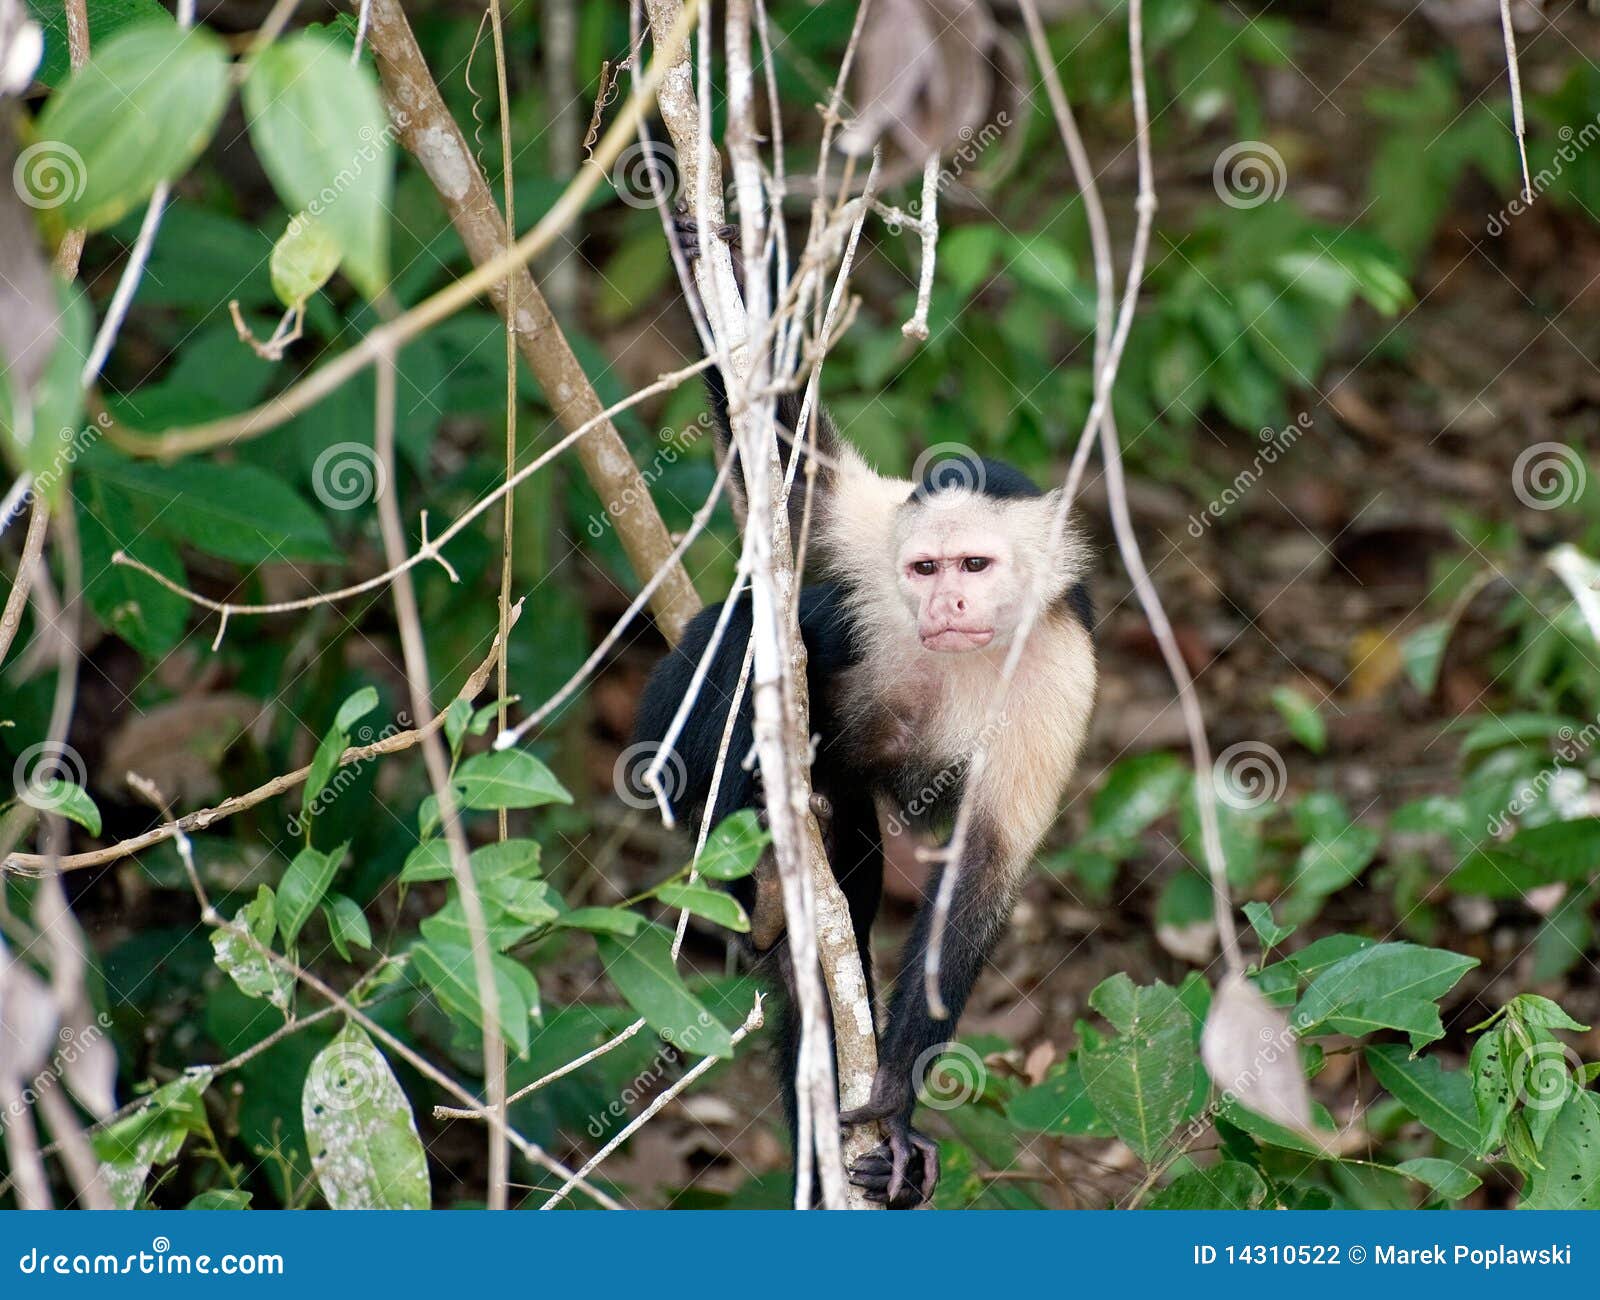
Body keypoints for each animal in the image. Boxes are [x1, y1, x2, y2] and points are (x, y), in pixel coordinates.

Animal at [629, 220, 1097, 1208]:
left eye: (975, 566)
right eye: (926, 568)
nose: (947, 604)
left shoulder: (1063, 668)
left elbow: (987, 862)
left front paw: (896, 1099)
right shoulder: (874, 530)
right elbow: (795, 471)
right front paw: (702, 243)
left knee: (849, 872)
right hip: (672, 748)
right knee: (757, 642)